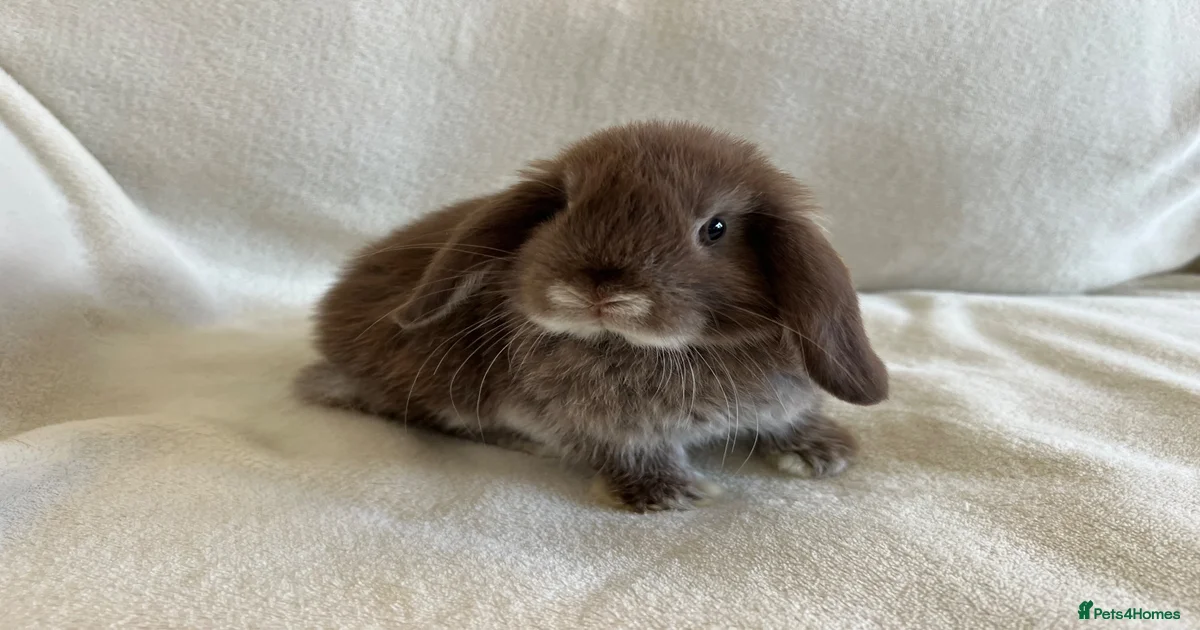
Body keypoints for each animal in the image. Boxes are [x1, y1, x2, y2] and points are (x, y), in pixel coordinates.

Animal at [295, 121, 888, 512]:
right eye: (562, 208)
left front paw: (824, 452)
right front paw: (667, 494)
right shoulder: (609, 430)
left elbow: (790, 417)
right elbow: (633, 451)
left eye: (715, 228)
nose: (598, 288)